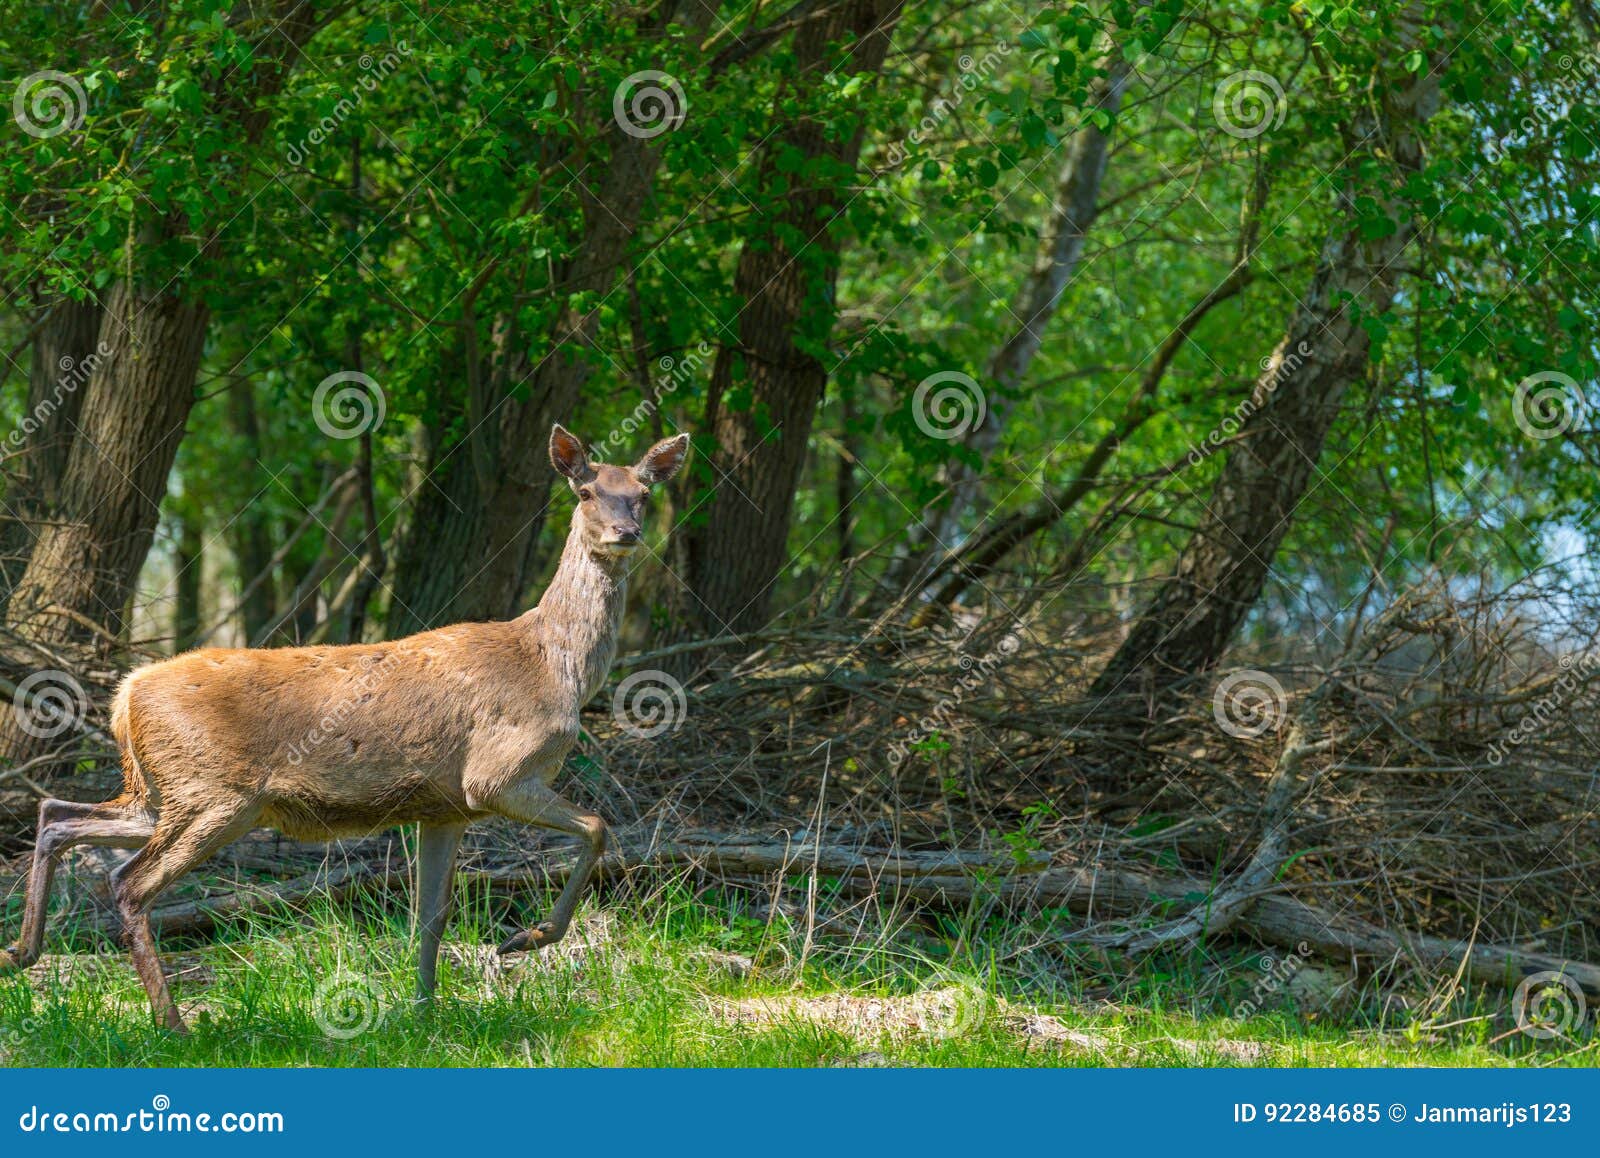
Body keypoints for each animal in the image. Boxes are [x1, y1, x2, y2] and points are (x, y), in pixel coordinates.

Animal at [0, 425, 690, 1033]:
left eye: (643, 492)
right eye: (585, 490)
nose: (627, 532)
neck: (553, 668)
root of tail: (124, 696)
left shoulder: (445, 807)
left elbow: (431, 914)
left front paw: (423, 1015)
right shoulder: (495, 774)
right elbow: (598, 826)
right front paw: (527, 938)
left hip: (160, 792)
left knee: (57, 815)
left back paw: (21, 953)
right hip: (213, 794)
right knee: (128, 883)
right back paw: (173, 1025)